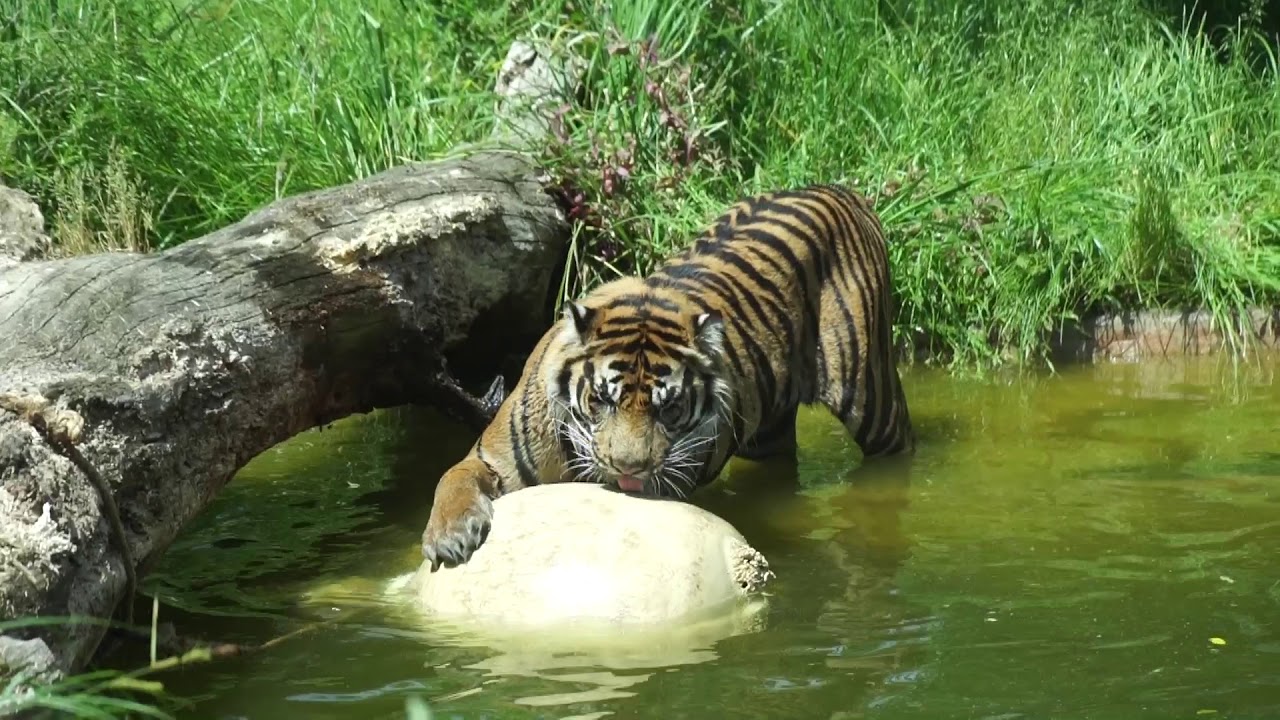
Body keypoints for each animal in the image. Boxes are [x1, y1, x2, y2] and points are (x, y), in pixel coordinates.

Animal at [421, 183, 916, 571]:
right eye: (602, 400)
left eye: (671, 408)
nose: (629, 469)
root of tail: (838, 189)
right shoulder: (492, 458)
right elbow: (450, 475)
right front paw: (448, 536)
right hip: (768, 432)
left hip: (870, 393)